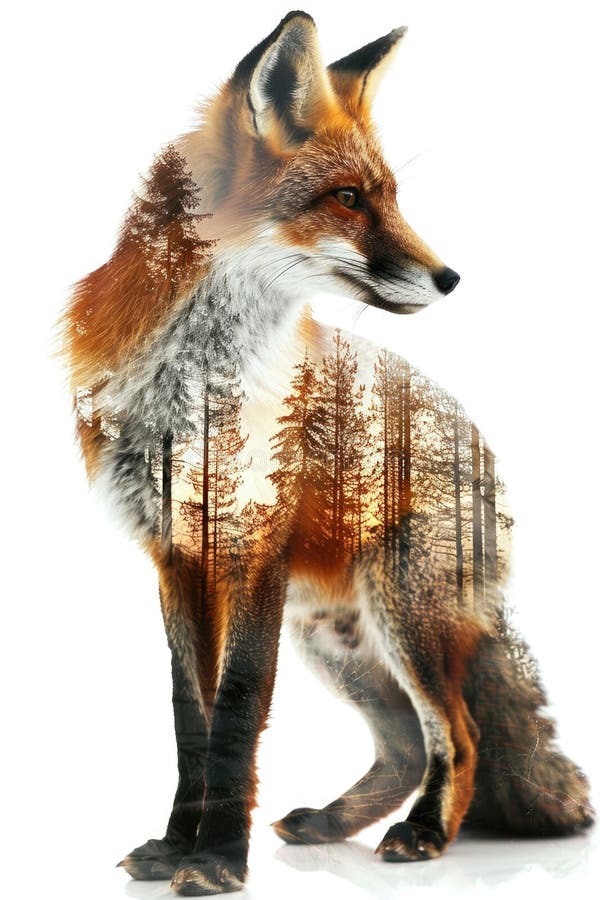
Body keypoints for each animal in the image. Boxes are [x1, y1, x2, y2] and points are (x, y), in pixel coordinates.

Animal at [62, 11, 593, 897]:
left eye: (391, 197)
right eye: (347, 198)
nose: (451, 278)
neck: (192, 383)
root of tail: (481, 445)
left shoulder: (253, 550)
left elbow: (237, 714)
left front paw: (216, 860)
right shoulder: (174, 556)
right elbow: (190, 723)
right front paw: (176, 848)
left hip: (402, 613)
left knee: (458, 733)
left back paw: (424, 834)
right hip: (335, 637)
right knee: (406, 744)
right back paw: (332, 825)